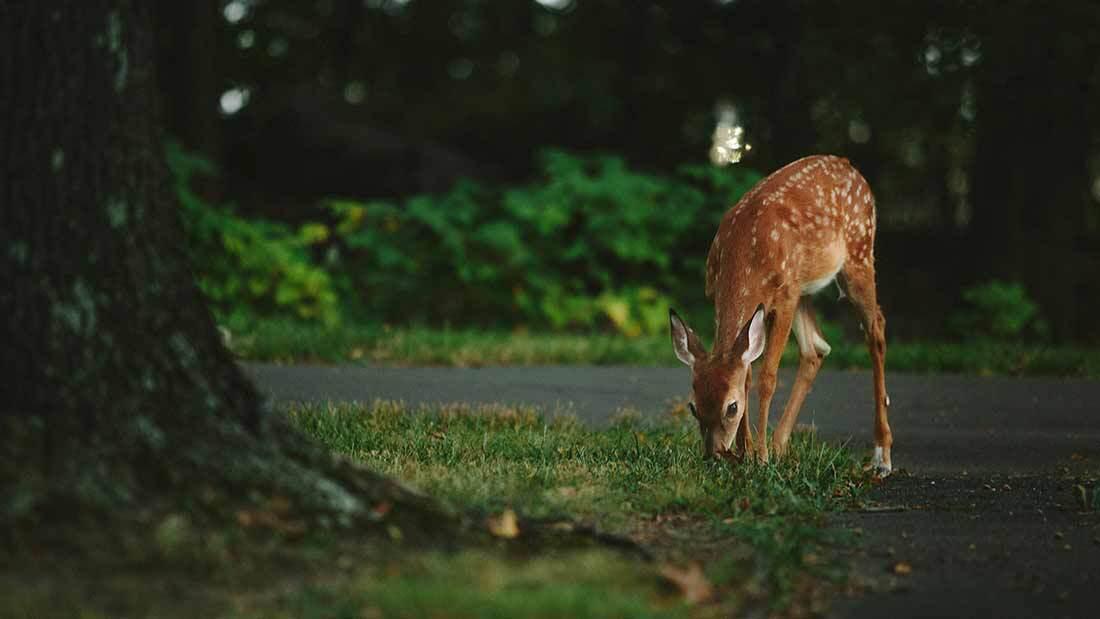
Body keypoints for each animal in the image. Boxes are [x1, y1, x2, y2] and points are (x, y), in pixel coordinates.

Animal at [669, 155, 893, 476]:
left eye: (731, 407)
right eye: (693, 407)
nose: (714, 455)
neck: (745, 257)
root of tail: (849, 165)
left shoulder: (784, 298)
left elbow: (767, 377)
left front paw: (759, 457)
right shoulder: (723, 296)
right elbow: (746, 373)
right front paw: (747, 452)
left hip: (858, 254)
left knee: (876, 330)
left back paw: (882, 456)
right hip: (804, 288)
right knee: (816, 348)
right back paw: (779, 445)